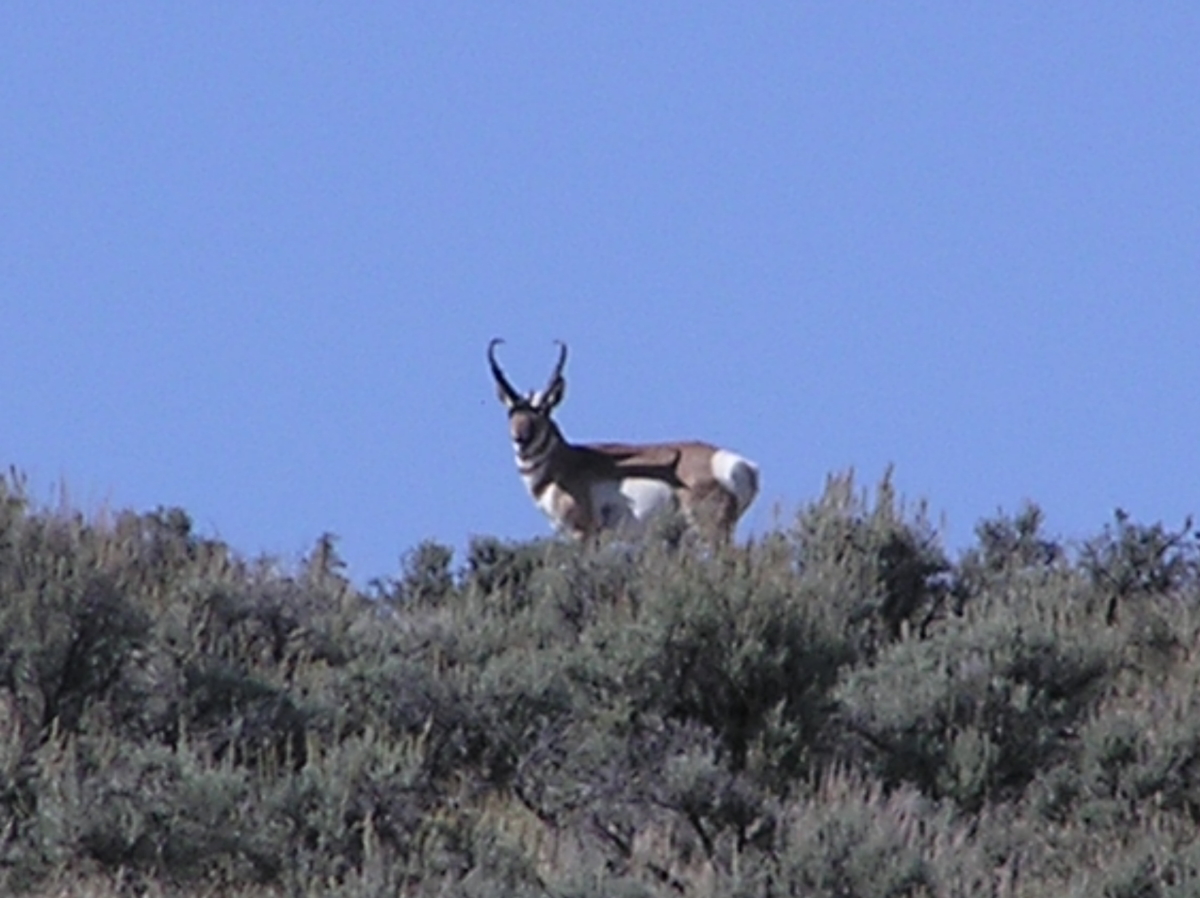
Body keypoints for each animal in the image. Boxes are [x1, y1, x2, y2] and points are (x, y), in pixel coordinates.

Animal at [488, 339, 759, 542]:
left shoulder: (582, 534)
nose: (521, 438)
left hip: (710, 529)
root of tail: (742, 465)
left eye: (544, 411)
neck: (565, 461)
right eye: (512, 412)